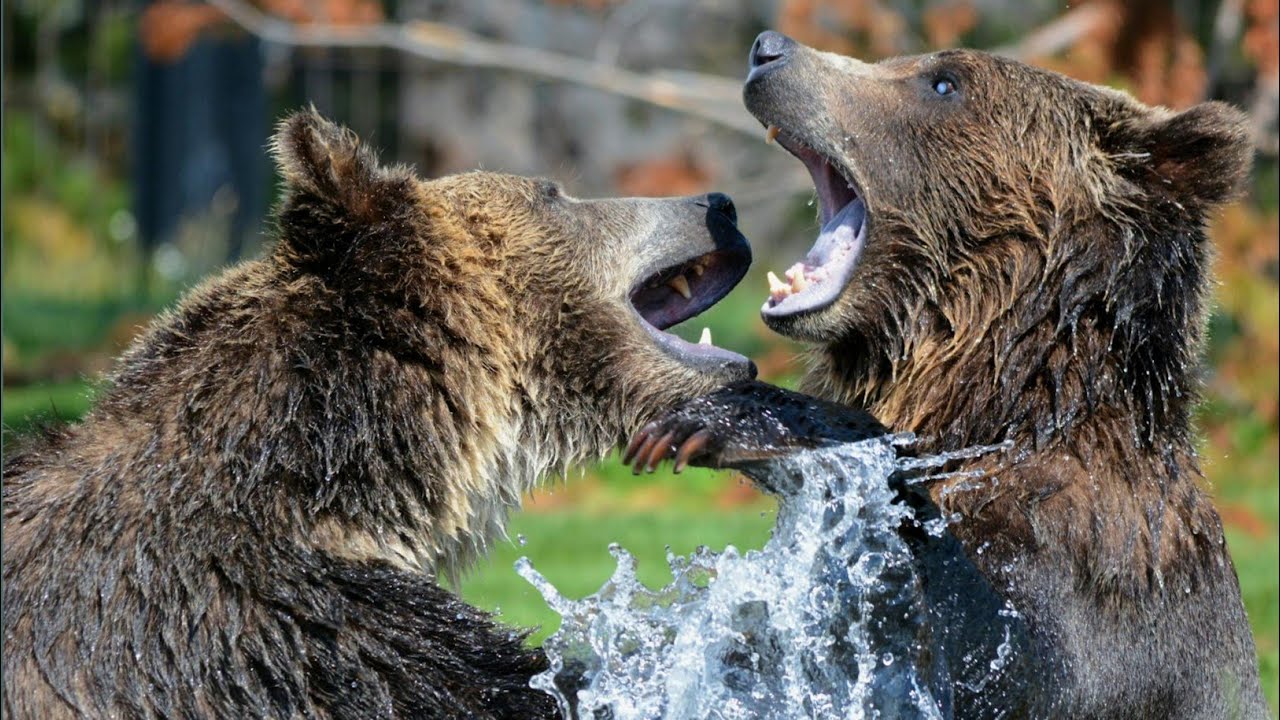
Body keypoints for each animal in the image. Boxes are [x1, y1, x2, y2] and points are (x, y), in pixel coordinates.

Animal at [628, 32, 1268, 719]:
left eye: (943, 83)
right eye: (899, 61)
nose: (770, 51)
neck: (1001, 404)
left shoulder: (1098, 577)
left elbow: (997, 648)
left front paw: (723, 420)